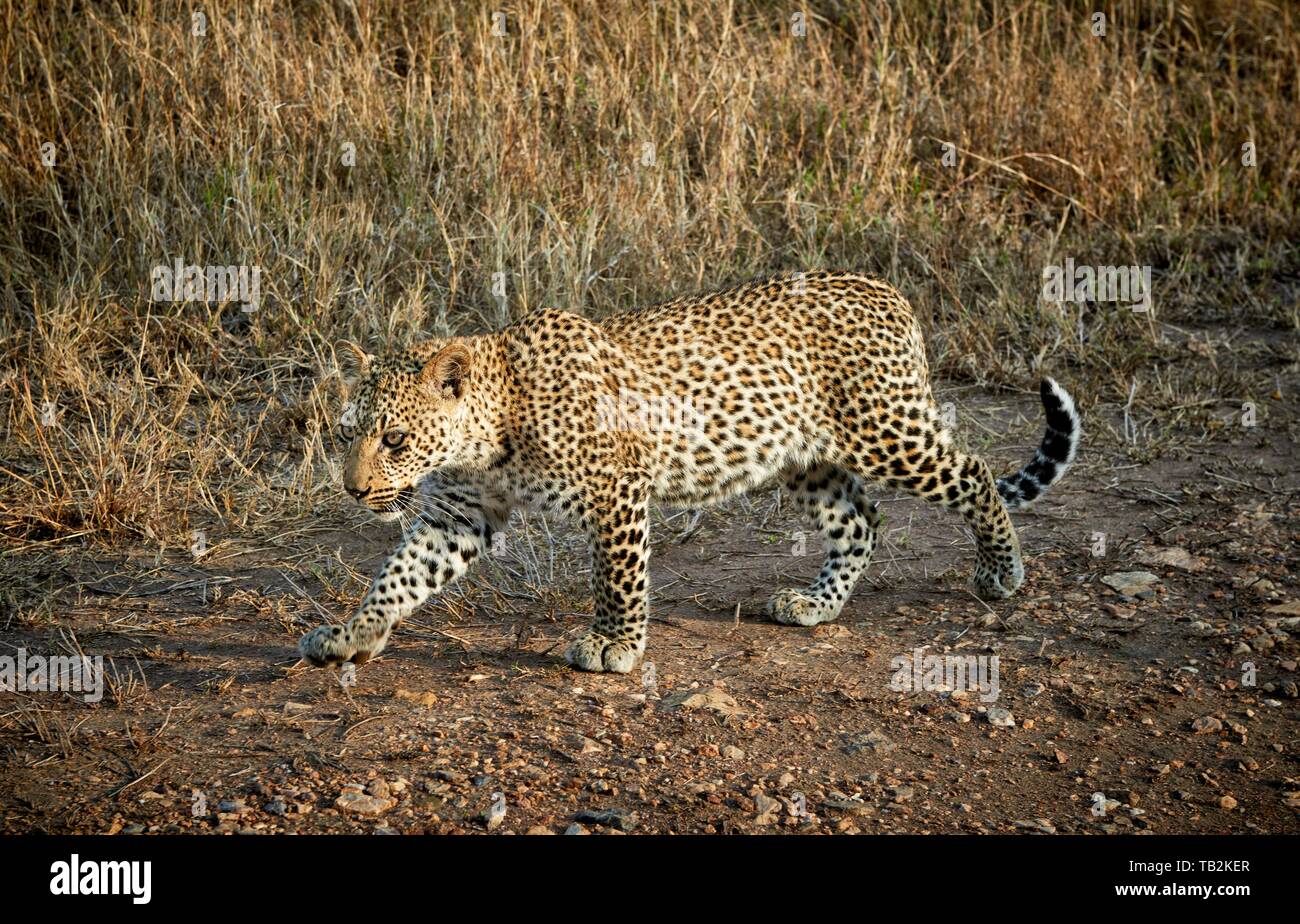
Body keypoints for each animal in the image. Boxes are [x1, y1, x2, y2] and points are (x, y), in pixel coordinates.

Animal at [298, 271, 1080, 675]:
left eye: (395, 438)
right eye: (347, 434)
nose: (355, 490)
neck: (489, 431)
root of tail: (888, 291)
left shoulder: (615, 488)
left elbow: (617, 577)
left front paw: (614, 645)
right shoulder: (456, 516)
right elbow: (398, 576)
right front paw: (352, 634)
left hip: (886, 432)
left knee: (973, 473)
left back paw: (1000, 572)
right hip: (806, 459)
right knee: (862, 520)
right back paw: (816, 605)